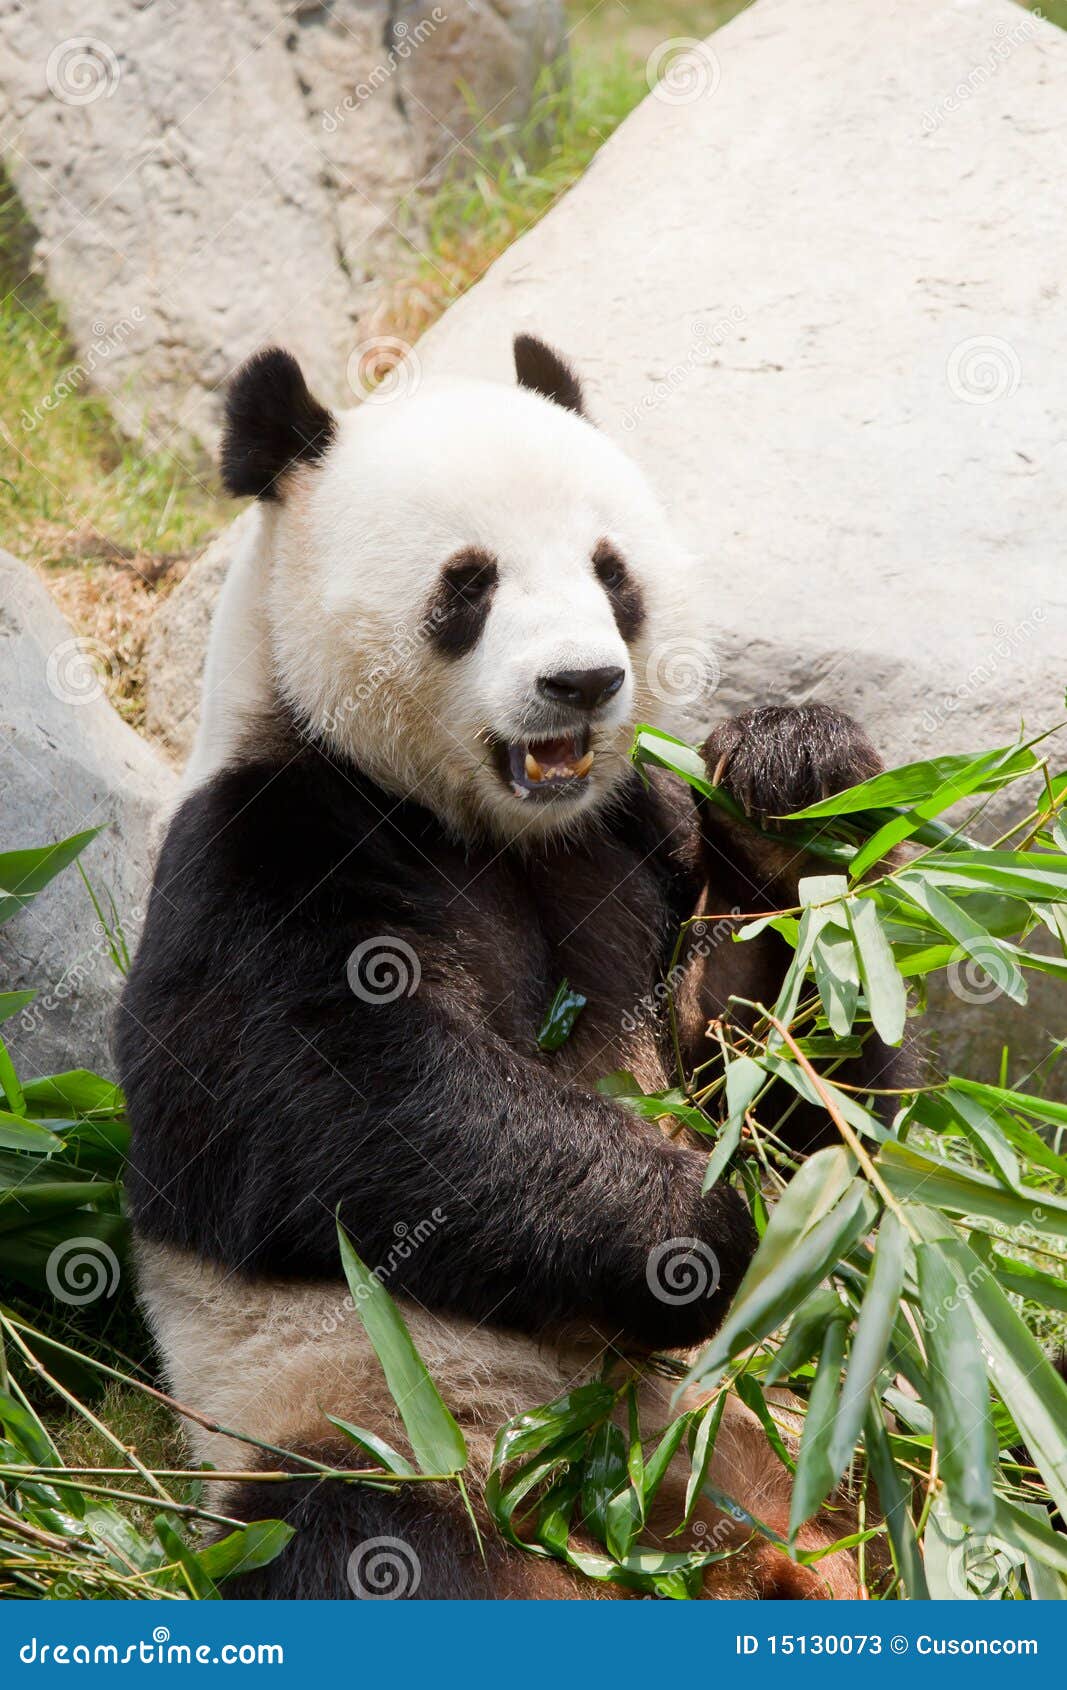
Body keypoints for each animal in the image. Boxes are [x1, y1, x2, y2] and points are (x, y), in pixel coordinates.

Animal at [116, 336, 897, 1601]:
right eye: (467, 583)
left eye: (610, 571)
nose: (581, 680)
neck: (502, 827)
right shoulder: (263, 844)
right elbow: (310, 1100)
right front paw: (693, 1227)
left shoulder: (634, 841)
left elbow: (799, 1091)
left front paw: (793, 776)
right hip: (382, 1426)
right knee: (376, 1546)